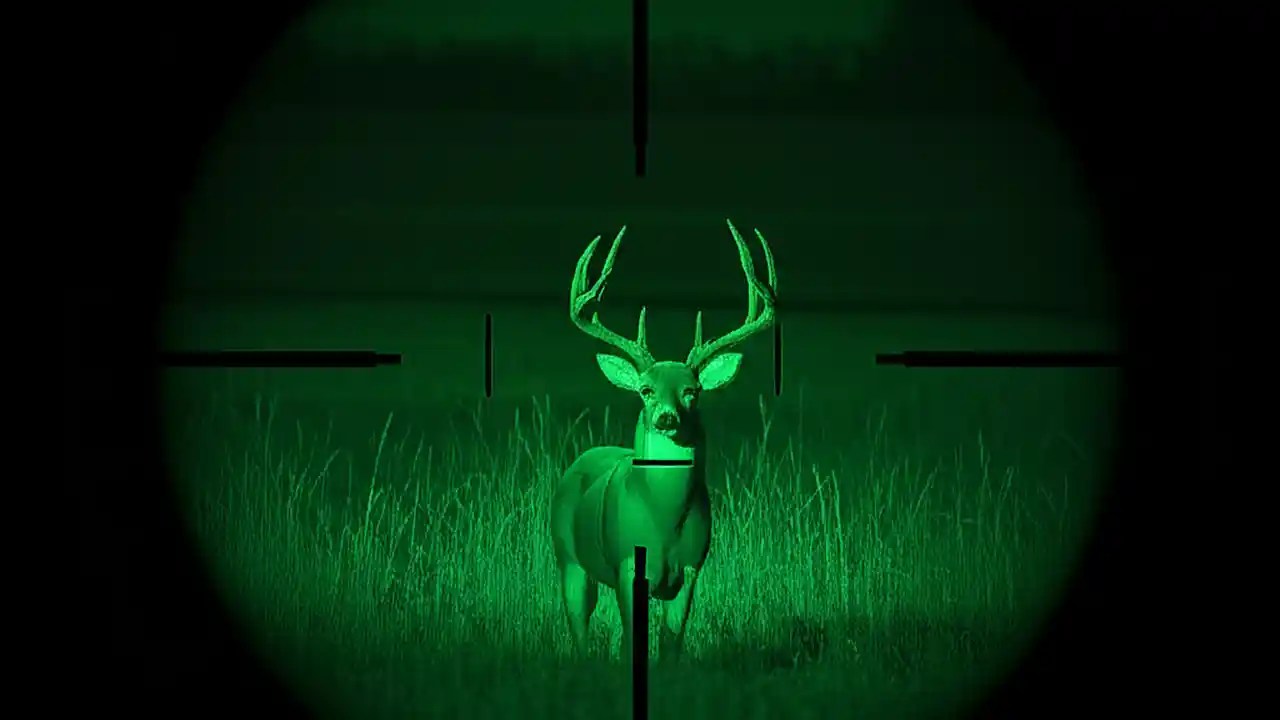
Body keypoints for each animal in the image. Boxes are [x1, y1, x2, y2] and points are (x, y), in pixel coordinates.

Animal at [550, 219, 777, 664]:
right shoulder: (626, 564)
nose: (667, 418)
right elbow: (631, 639)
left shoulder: (690, 569)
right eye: (645, 390)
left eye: (692, 391)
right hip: (569, 560)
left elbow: (672, 641)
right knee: (579, 630)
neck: (663, 520)